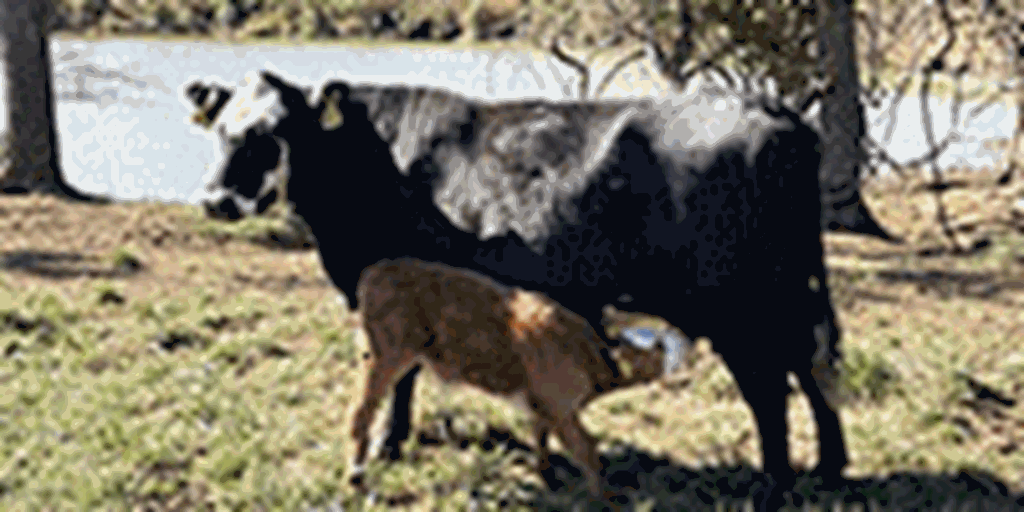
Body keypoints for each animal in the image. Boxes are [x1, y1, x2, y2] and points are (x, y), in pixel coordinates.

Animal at [182, 68, 849, 505]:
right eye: (221, 129)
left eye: (276, 131)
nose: (217, 200)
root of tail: (773, 111)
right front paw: (398, 440)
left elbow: (402, 375)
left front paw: (389, 445)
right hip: (792, 292)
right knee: (813, 368)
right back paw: (829, 469)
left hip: (742, 309)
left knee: (770, 389)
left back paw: (775, 485)